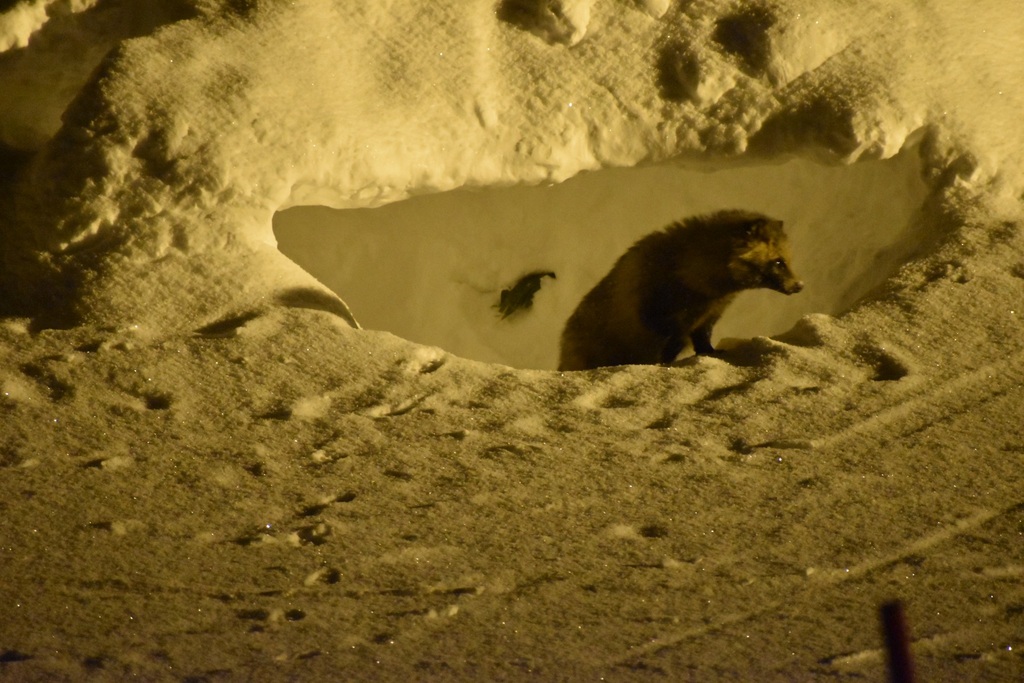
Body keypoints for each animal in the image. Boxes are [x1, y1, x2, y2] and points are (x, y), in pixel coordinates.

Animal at [558, 210, 803, 371]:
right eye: (779, 262)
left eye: (788, 260)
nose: (799, 285)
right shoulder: (659, 318)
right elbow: (667, 348)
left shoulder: (708, 315)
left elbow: (702, 342)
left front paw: (711, 354)